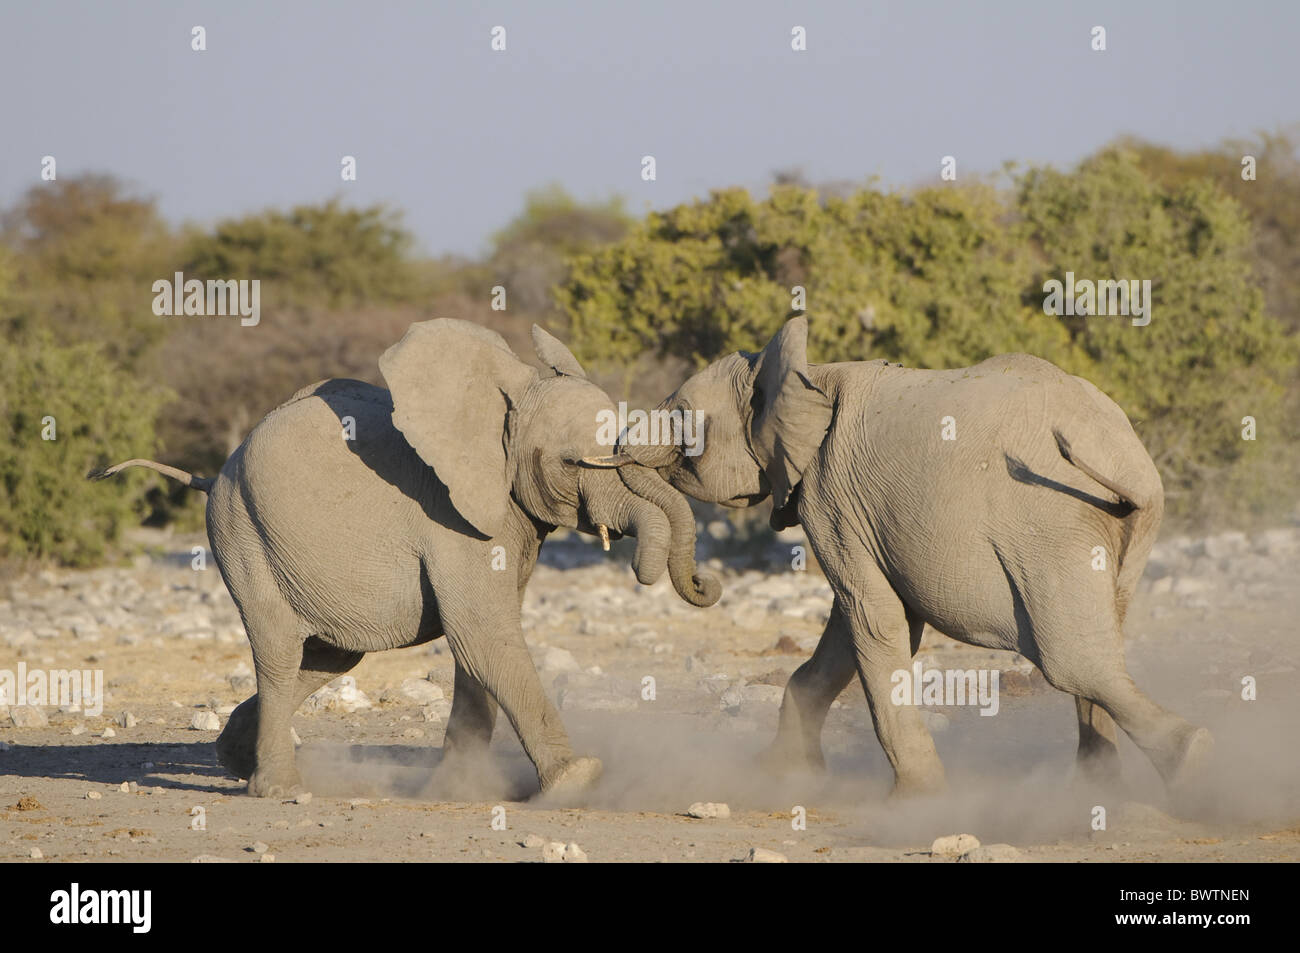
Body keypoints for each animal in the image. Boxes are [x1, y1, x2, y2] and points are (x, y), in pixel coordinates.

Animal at [91, 318, 720, 798]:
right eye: (571, 463)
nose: (705, 586)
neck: (500, 408)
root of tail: (216, 471)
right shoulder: (451, 515)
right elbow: (482, 631)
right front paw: (577, 782)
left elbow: (477, 643)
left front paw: (456, 790)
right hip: (242, 531)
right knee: (278, 651)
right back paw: (280, 789)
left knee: (330, 657)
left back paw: (235, 759)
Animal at [584, 316, 1211, 796]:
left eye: (682, 415)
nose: (706, 586)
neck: (809, 374)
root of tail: (1119, 453)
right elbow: (854, 629)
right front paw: (782, 777)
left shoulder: (830, 491)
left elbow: (874, 618)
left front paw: (916, 800)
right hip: (1120, 530)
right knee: (1102, 643)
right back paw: (1093, 794)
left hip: (1049, 520)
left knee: (1073, 661)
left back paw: (1192, 763)